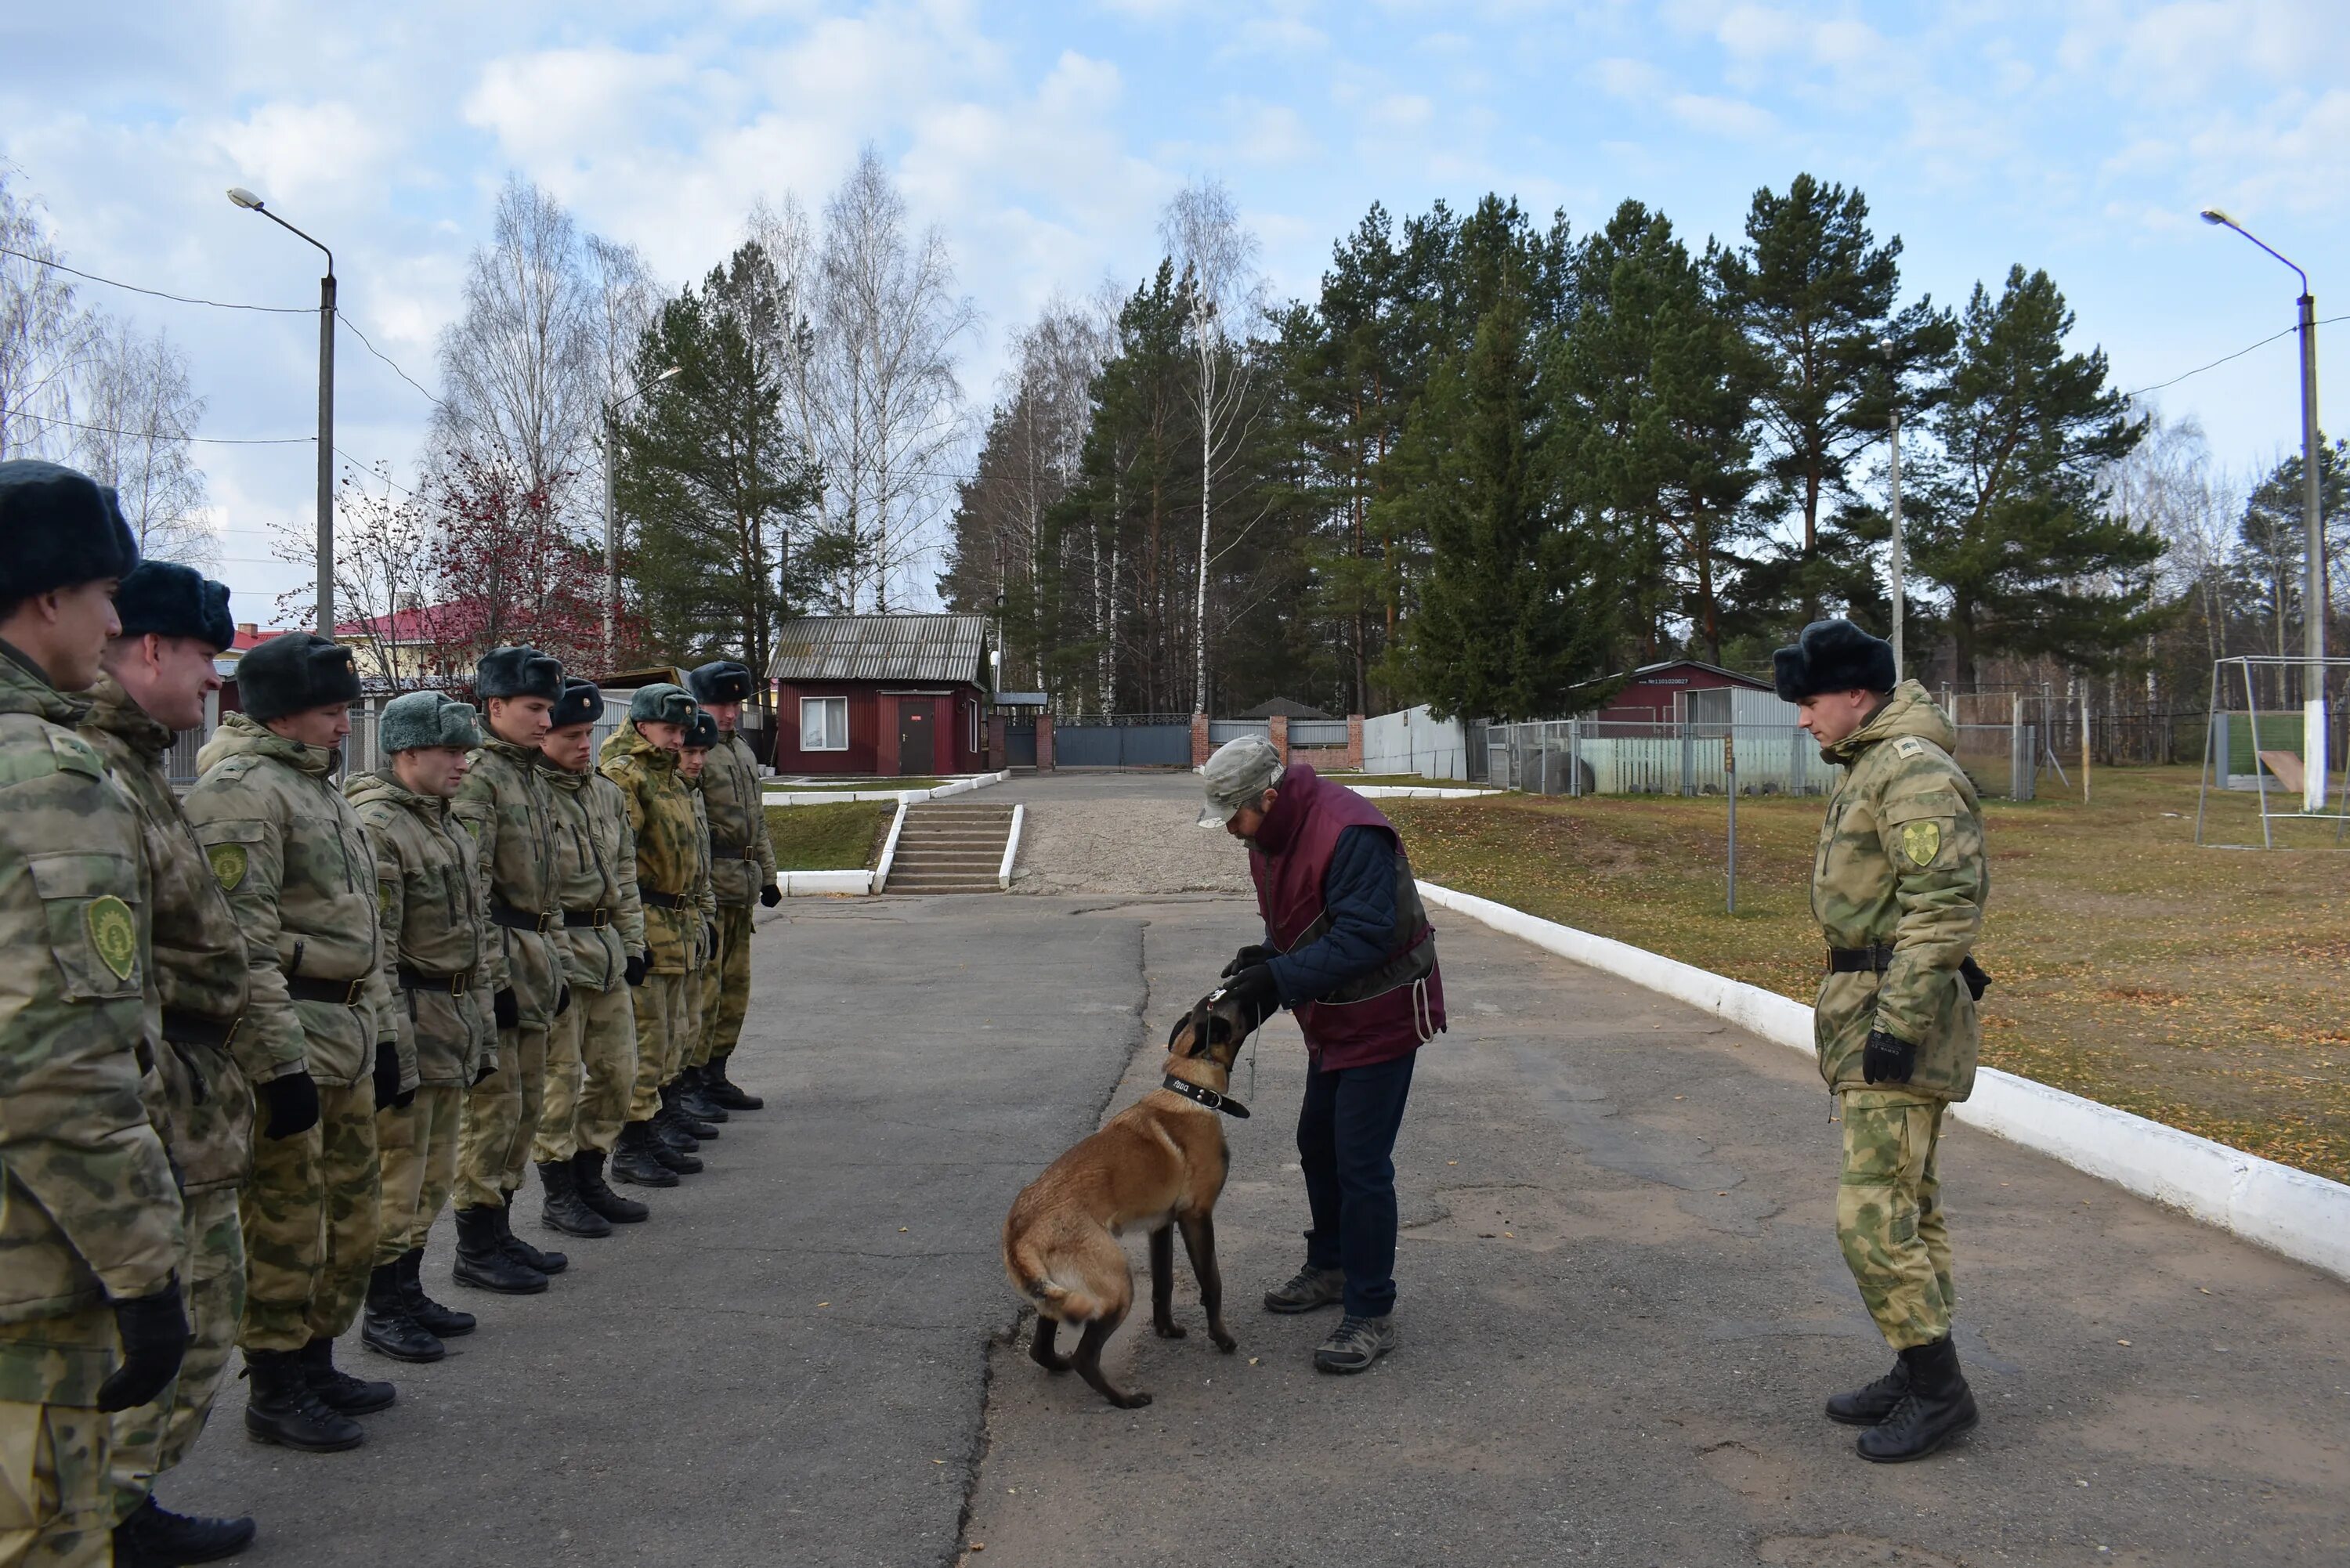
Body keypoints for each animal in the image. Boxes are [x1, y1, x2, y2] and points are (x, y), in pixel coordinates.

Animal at [1001, 987, 1260, 1400]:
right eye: (1236, 1001)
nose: (1254, 986)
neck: (1190, 1089)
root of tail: (1018, 1232)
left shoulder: (1162, 1226)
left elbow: (1164, 1283)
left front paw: (1166, 1329)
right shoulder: (1197, 1216)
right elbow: (1212, 1282)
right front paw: (1221, 1338)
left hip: (1061, 1291)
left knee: (1041, 1347)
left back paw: (1060, 1365)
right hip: (1118, 1283)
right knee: (1085, 1356)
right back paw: (1125, 1399)